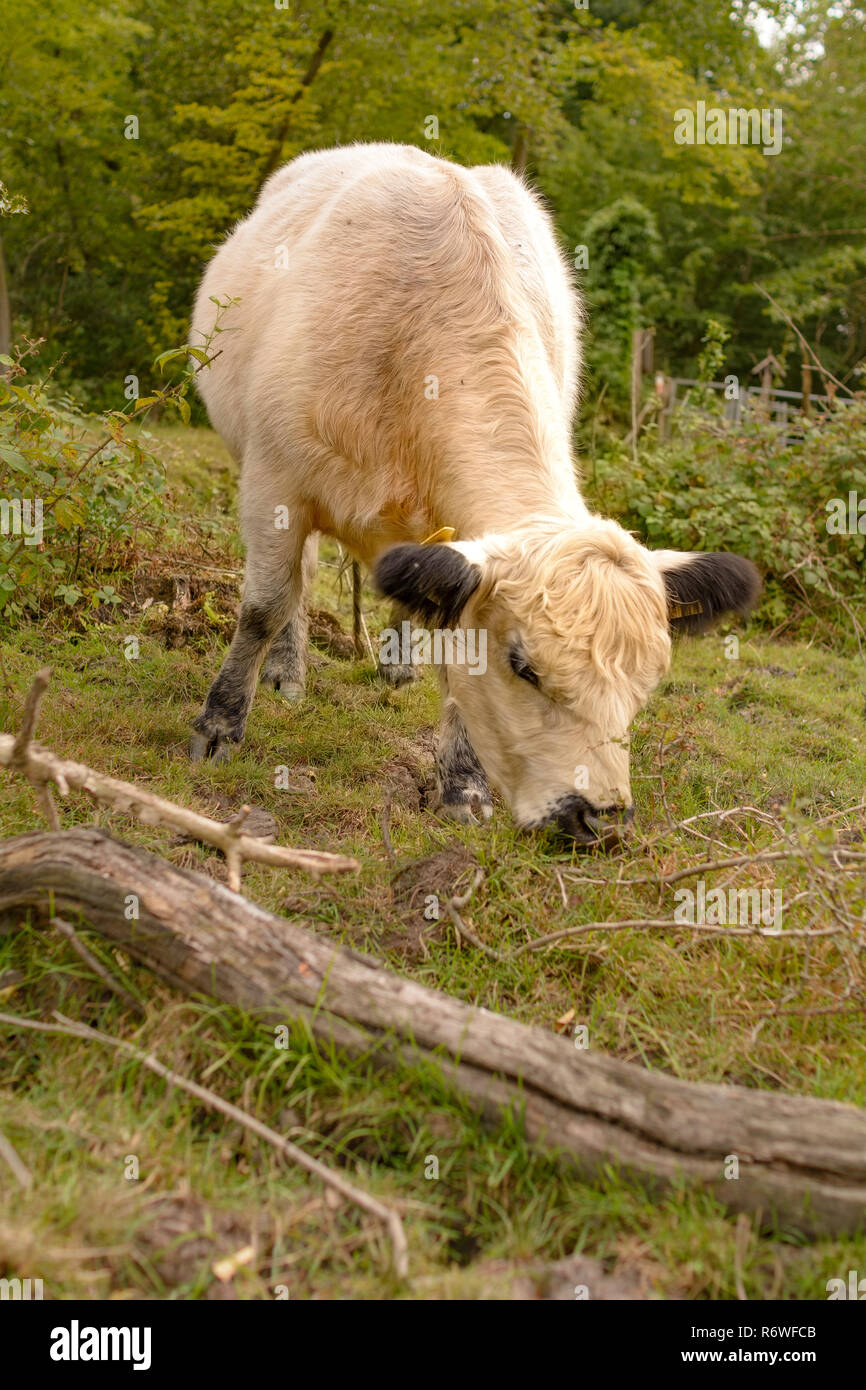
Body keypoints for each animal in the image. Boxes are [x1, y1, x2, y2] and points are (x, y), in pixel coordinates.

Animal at [188, 142, 760, 846]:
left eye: (648, 682)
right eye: (525, 666)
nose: (600, 818)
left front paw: (462, 785)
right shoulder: (274, 480)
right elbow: (265, 605)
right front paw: (219, 725)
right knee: (301, 579)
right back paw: (286, 674)